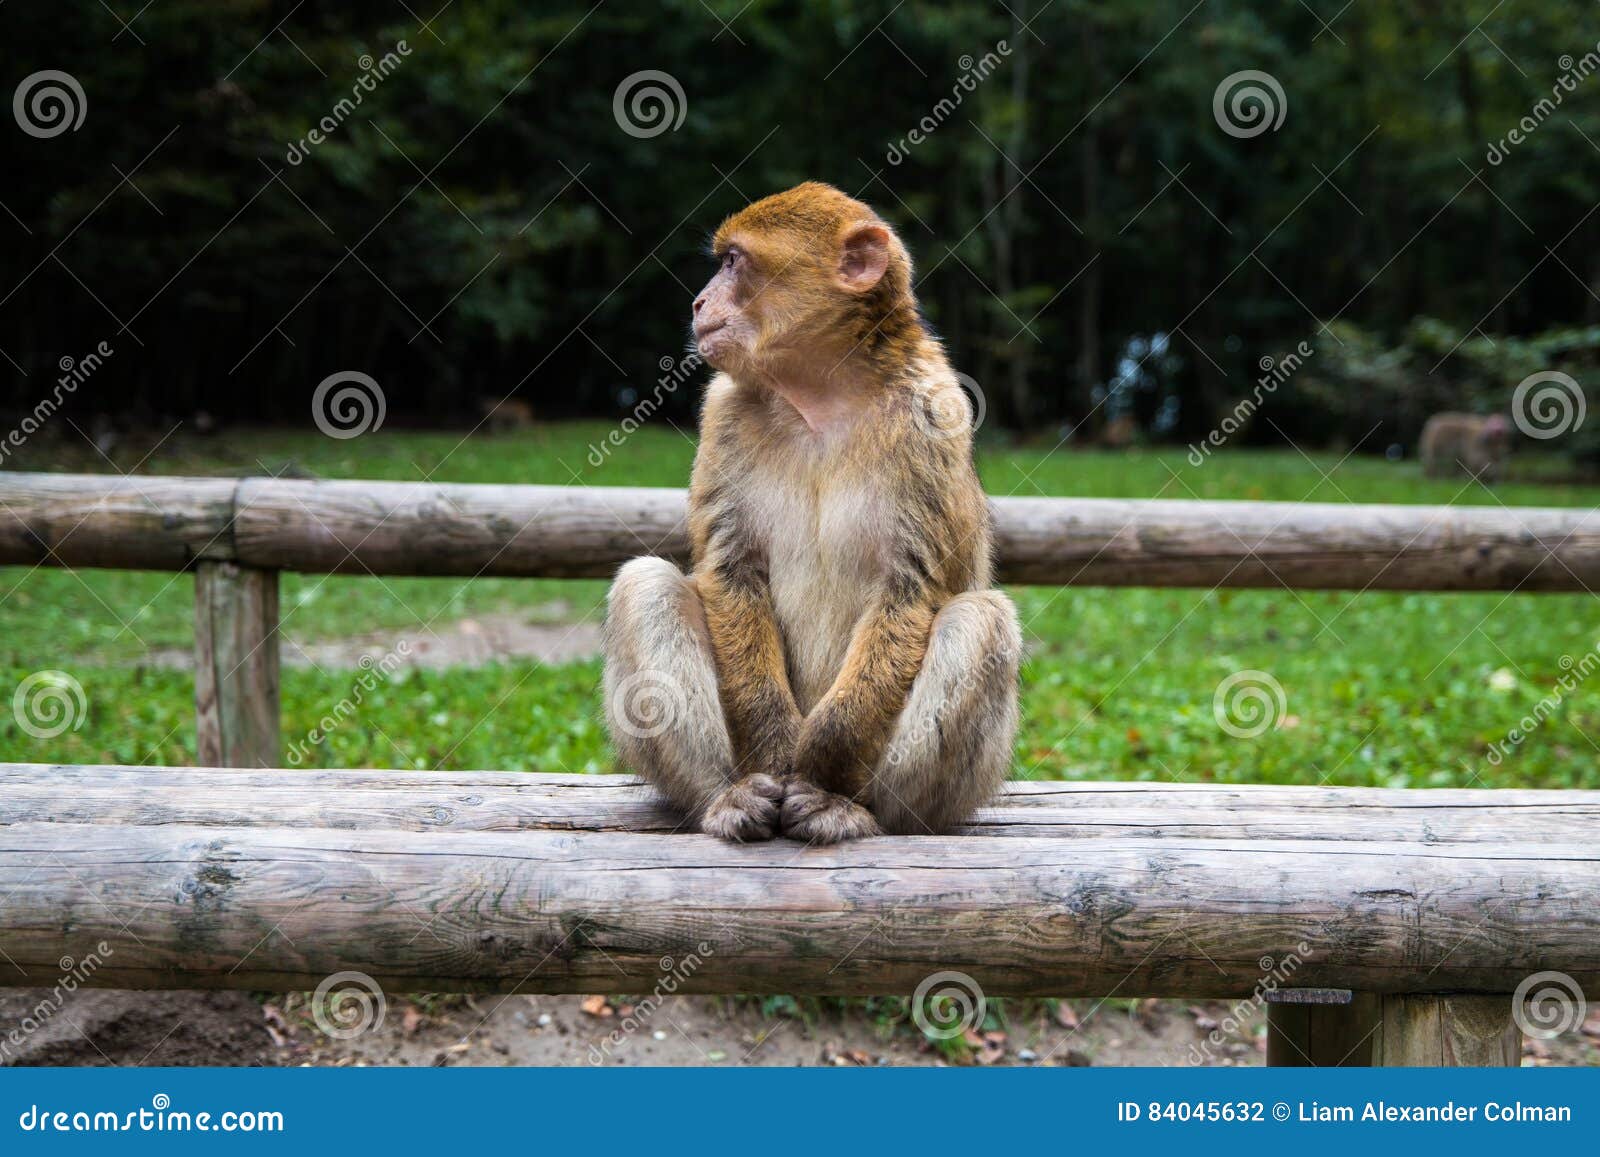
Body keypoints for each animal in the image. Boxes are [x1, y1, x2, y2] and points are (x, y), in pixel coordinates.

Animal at [602, 182, 1021, 845]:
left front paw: (822, 758)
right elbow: (733, 570)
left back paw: (846, 805)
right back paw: (727, 797)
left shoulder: (932, 417)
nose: (698, 301)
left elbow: (909, 592)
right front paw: (776, 745)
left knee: (983, 620)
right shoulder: (723, 414)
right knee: (644, 585)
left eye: (733, 262)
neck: (823, 396)